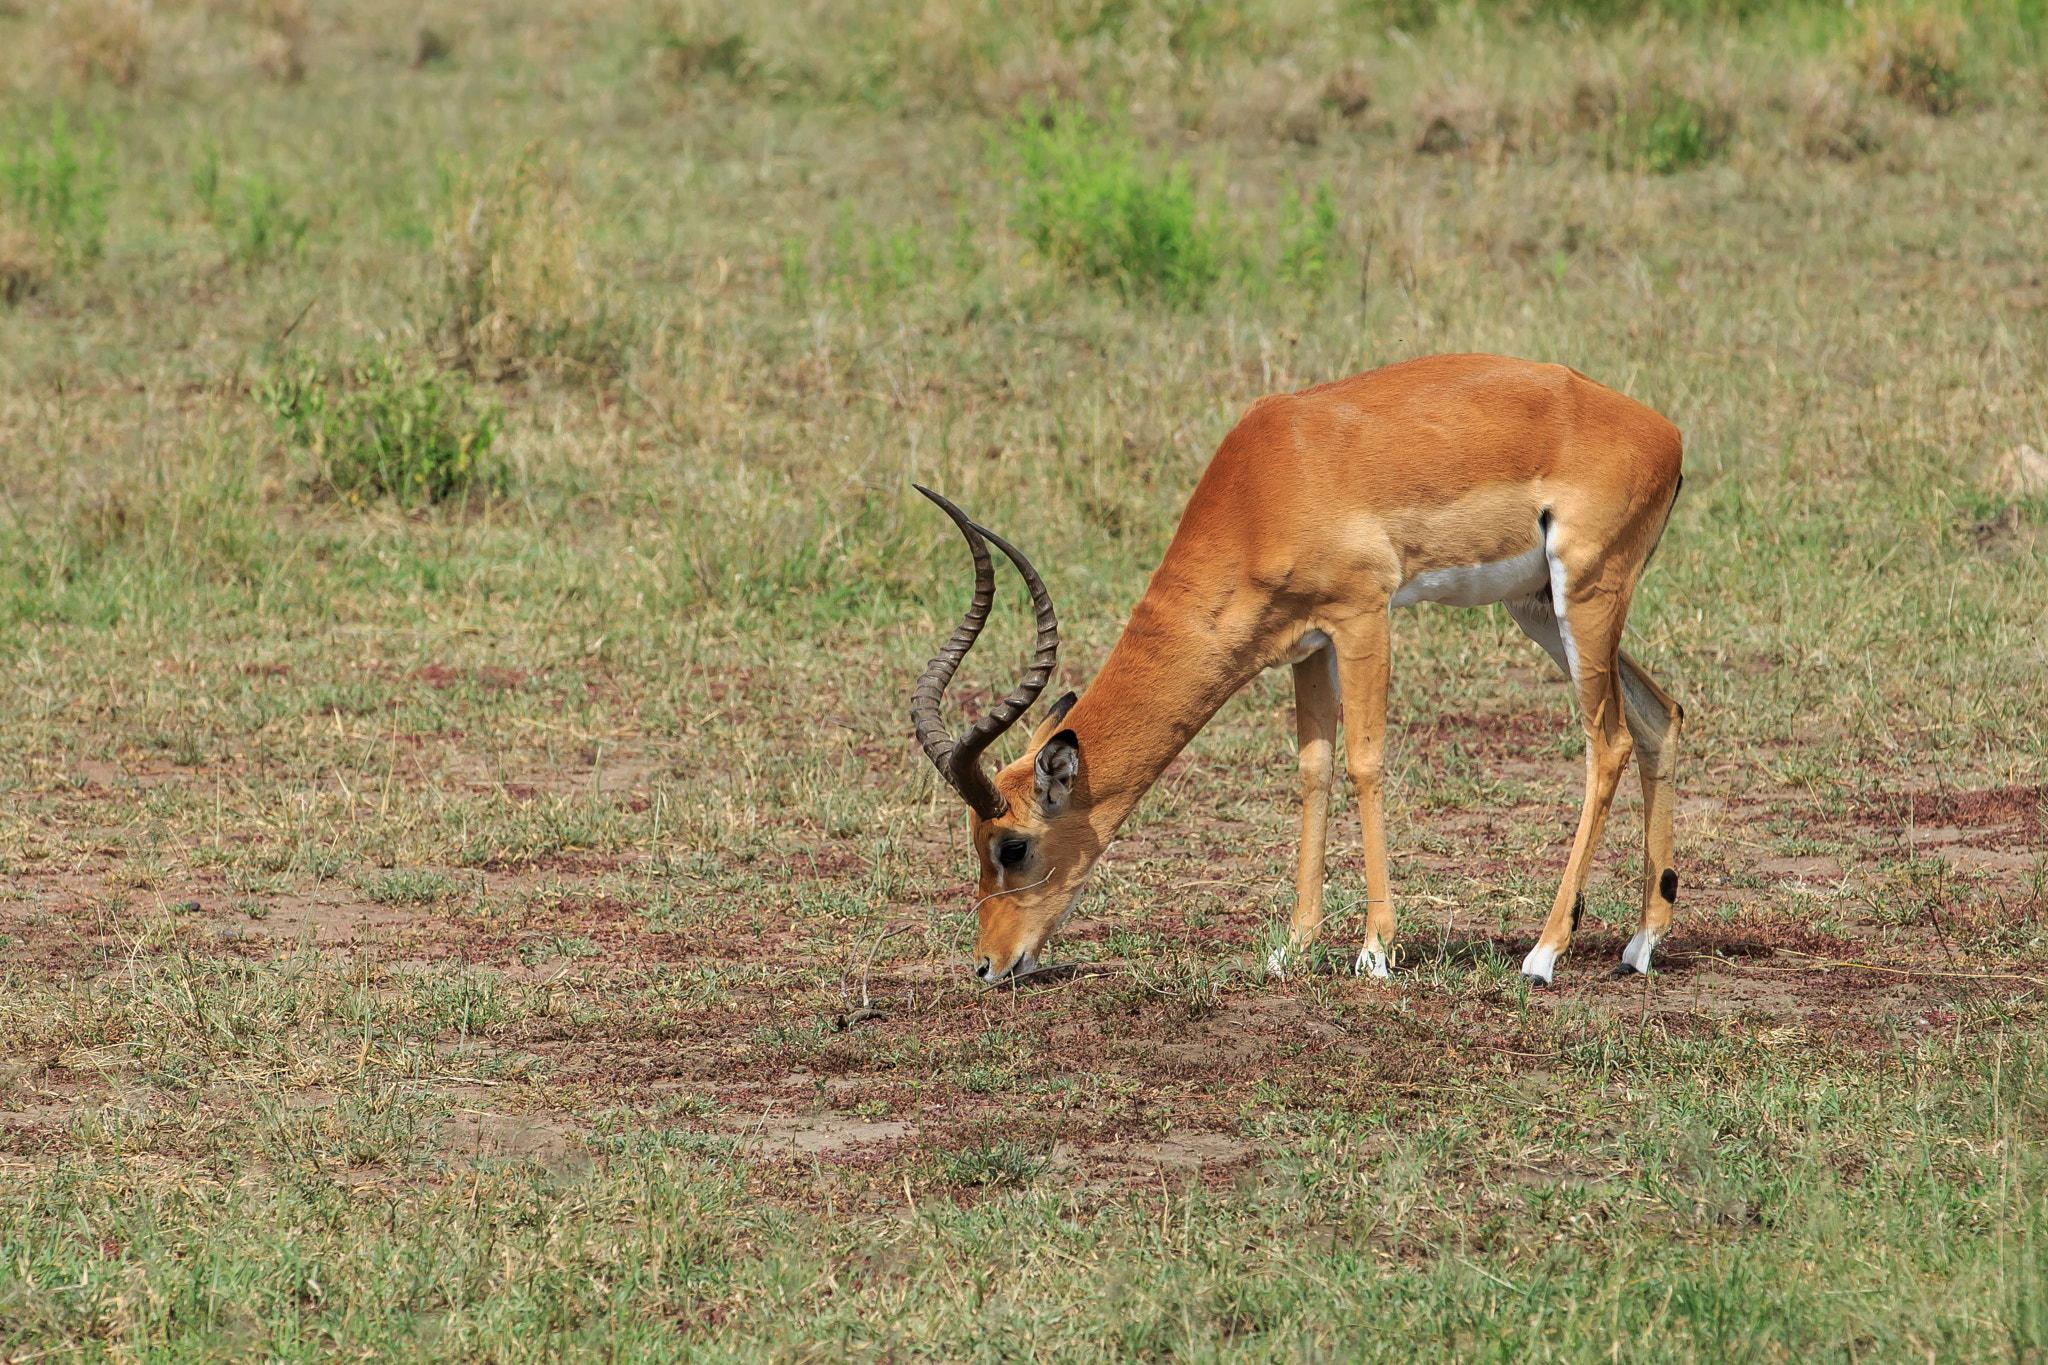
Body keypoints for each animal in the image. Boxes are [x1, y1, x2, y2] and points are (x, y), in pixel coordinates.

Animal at [910, 353, 1685, 988]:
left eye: (1012, 845)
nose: (988, 963)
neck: (1266, 484)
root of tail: (1666, 434)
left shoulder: (1364, 615)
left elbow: (1366, 763)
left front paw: (1375, 952)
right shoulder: (1309, 645)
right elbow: (1314, 770)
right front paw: (1294, 947)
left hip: (1584, 595)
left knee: (1608, 742)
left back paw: (1544, 954)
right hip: (1540, 607)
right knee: (1660, 716)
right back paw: (1640, 944)